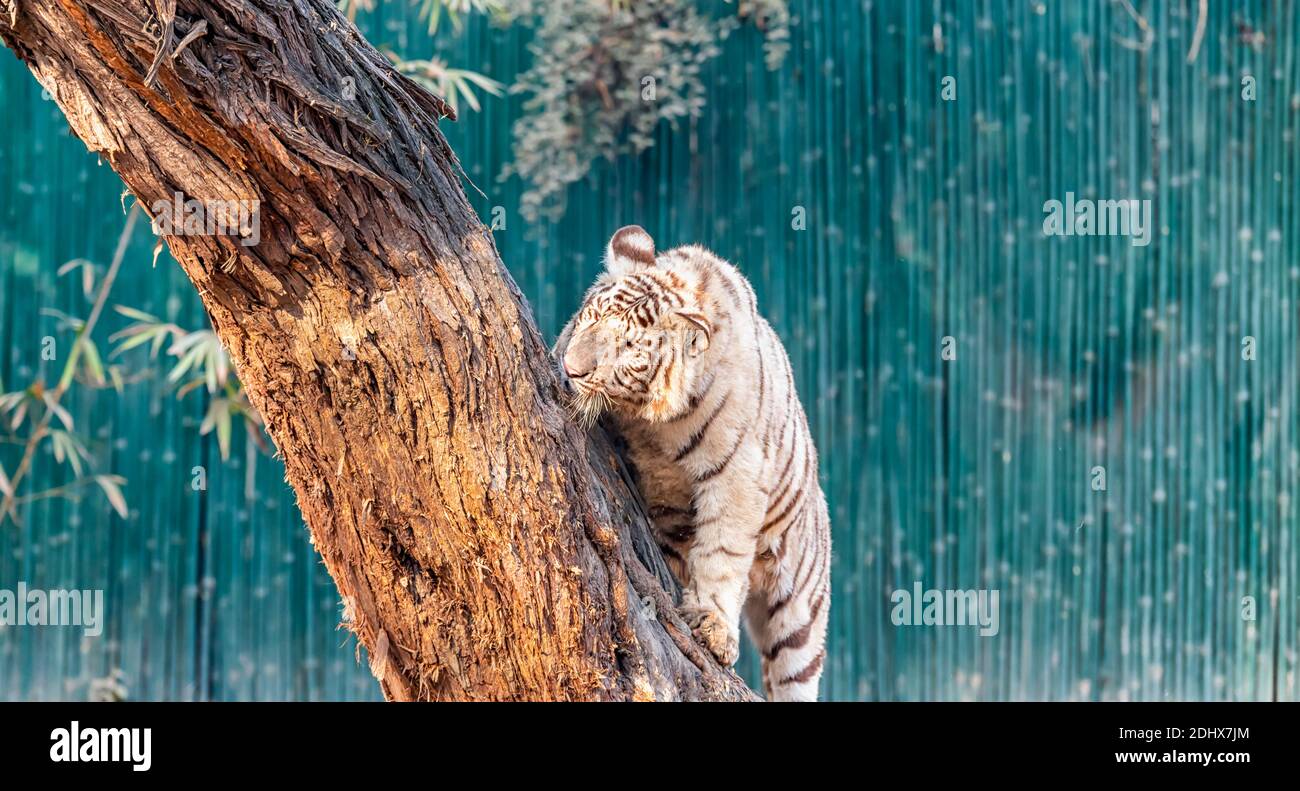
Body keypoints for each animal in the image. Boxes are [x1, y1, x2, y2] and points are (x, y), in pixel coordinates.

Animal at [554, 225, 831, 702]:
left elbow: (722, 550)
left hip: (800, 615)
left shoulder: (737, 475)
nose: (571, 370)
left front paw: (713, 625)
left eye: (628, 347)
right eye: (591, 316)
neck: (651, 420)